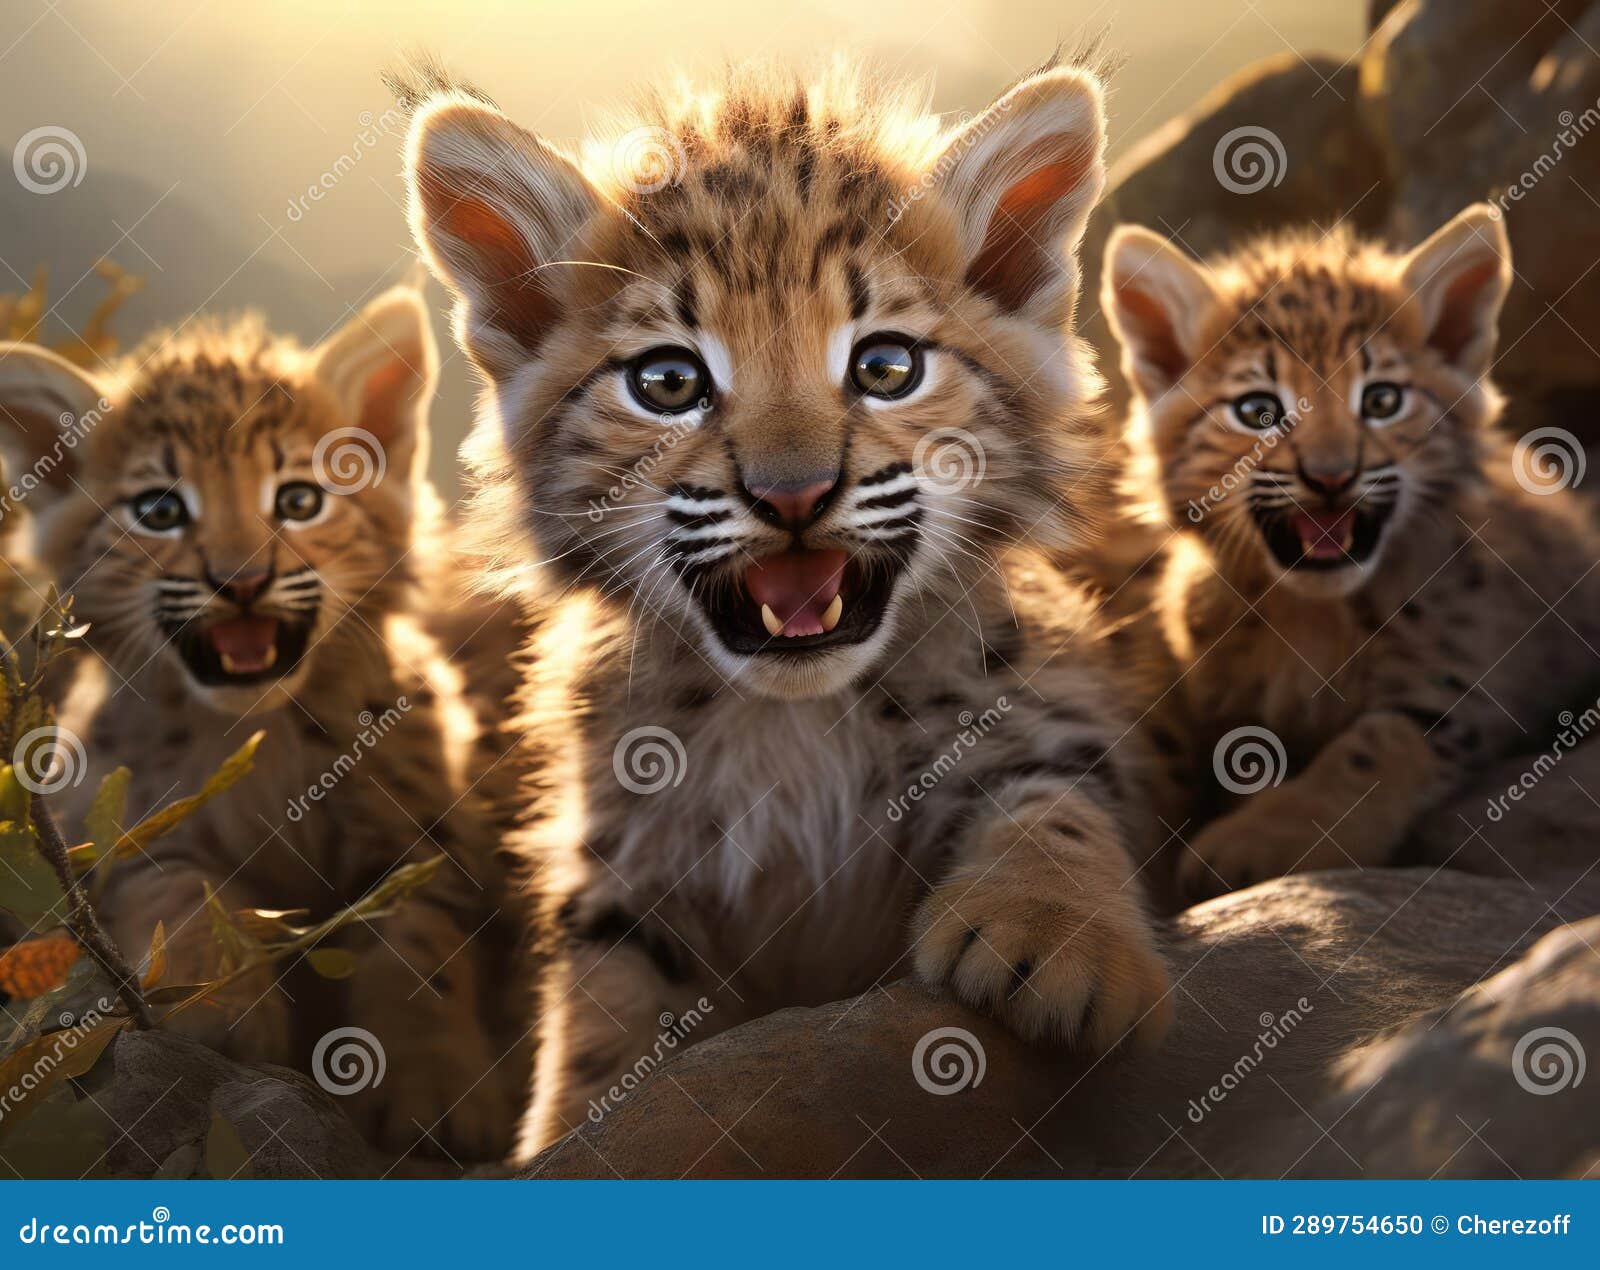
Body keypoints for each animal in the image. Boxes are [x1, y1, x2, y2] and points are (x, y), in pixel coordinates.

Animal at [0, 286, 527, 1161]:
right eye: (159, 510)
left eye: (300, 501)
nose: (242, 581)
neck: (268, 737)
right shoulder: (125, 831)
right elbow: (179, 891)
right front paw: (220, 1014)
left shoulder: (427, 831)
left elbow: (419, 942)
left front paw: (437, 1088)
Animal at [397, 54, 1177, 1162]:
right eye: (667, 381)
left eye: (887, 367)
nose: (795, 495)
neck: (795, 718)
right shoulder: (623, 862)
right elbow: (604, 1011)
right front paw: (572, 1127)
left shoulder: (1041, 696)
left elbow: (1053, 794)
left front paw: (1057, 938)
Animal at [1101, 202, 1600, 900]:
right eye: (1258, 411)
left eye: (1383, 401)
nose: (1332, 475)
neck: (1314, 615)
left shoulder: (1463, 682)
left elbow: (1377, 742)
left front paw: (1265, 838)